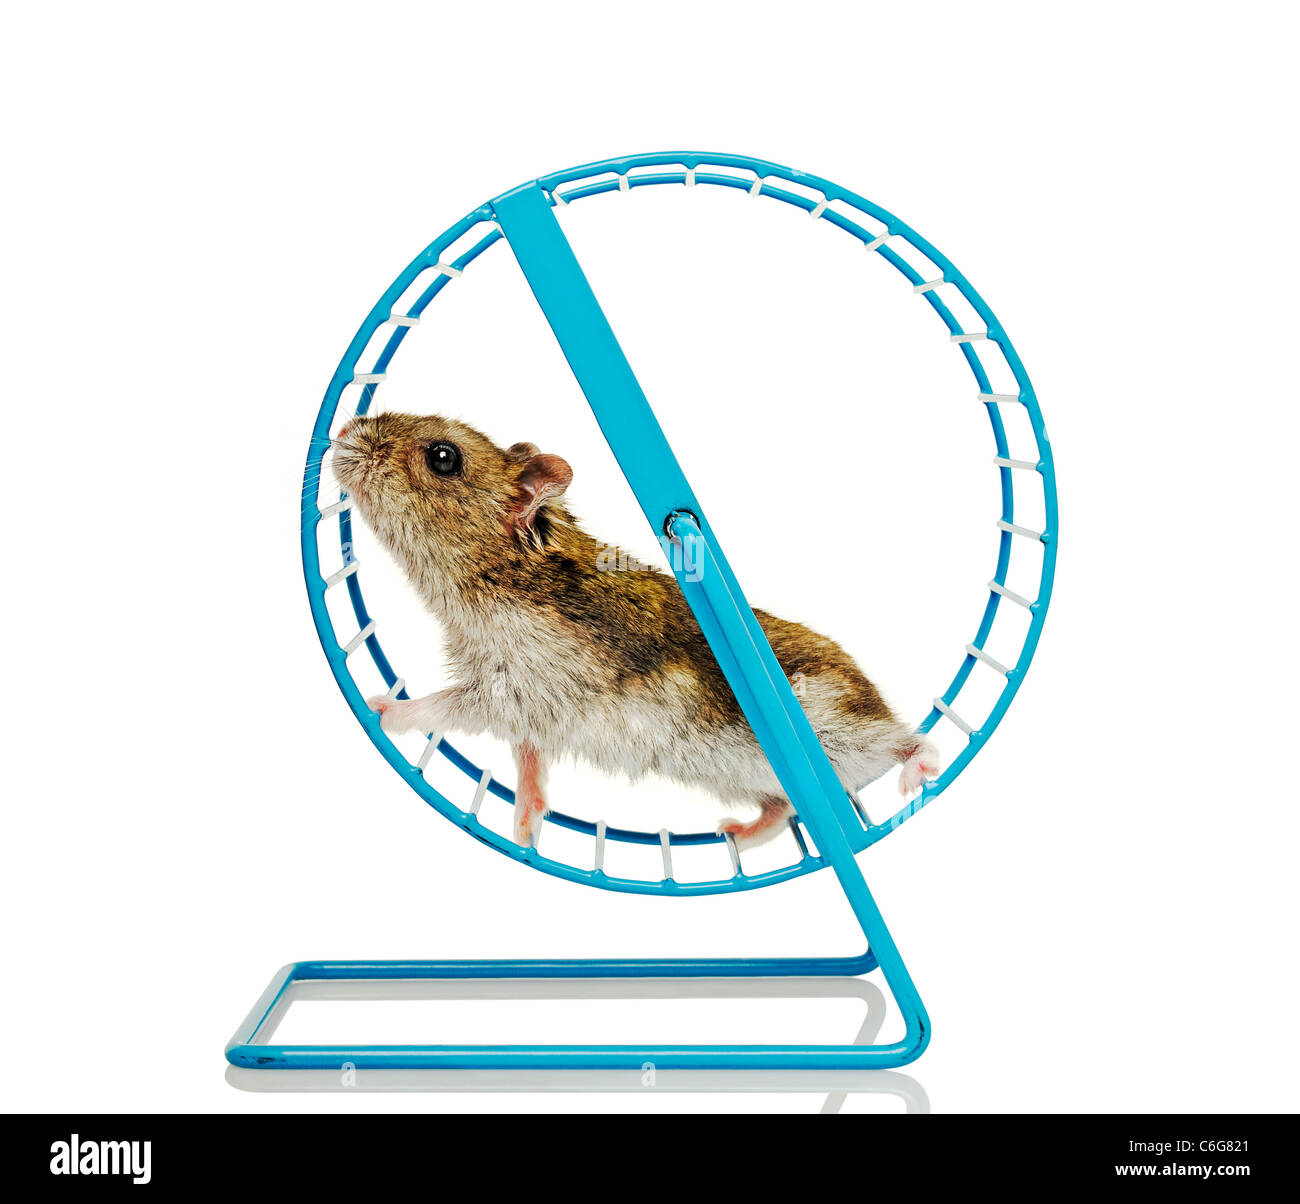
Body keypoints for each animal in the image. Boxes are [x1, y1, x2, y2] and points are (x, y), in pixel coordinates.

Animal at [331, 411, 939, 849]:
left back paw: (919, 772)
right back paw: (735, 837)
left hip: (839, 732)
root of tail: (872, 699)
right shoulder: (526, 712)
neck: (498, 577)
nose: (341, 432)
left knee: (905, 740)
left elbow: (441, 706)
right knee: (783, 808)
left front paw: (381, 707)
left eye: (443, 457)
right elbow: (529, 761)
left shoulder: (509, 688)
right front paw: (524, 831)